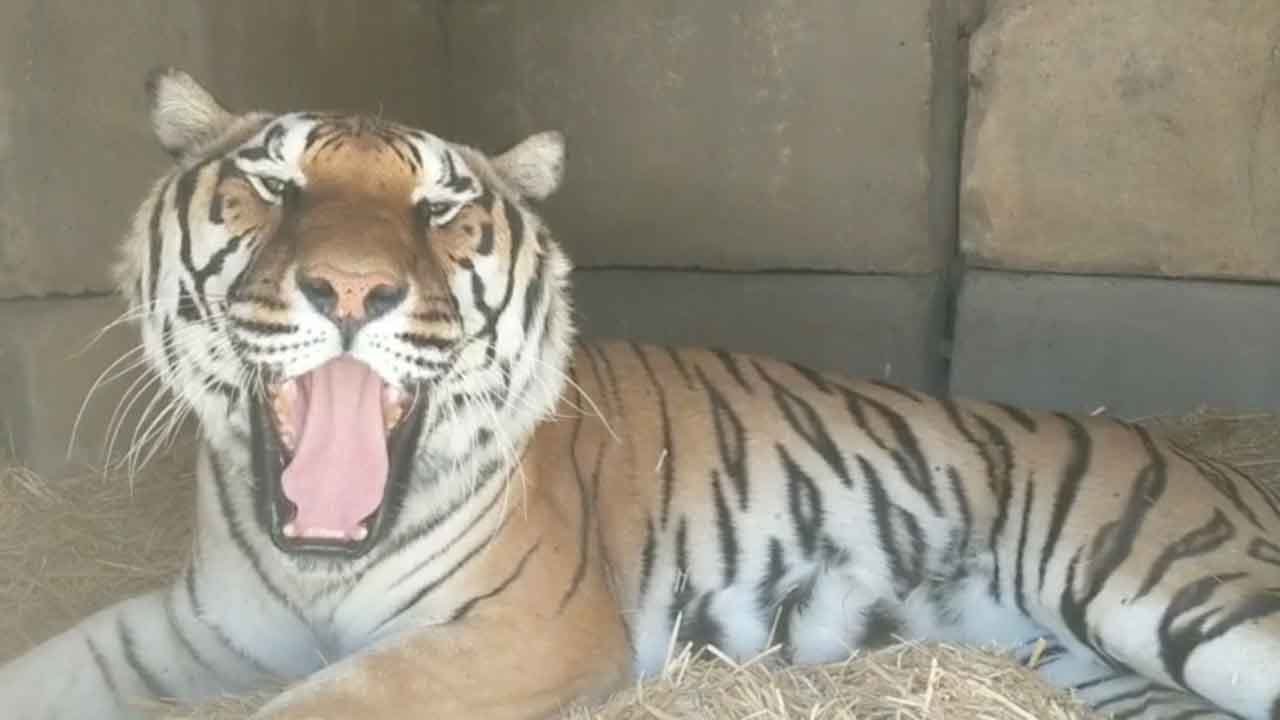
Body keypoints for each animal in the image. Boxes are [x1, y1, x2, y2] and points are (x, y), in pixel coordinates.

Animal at [1, 66, 1278, 720]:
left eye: (439, 208)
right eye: (273, 184)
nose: (352, 289)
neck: (316, 555)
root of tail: (1216, 462)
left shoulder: (517, 632)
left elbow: (307, 707)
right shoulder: (199, 625)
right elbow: (53, 668)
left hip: (1180, 596)